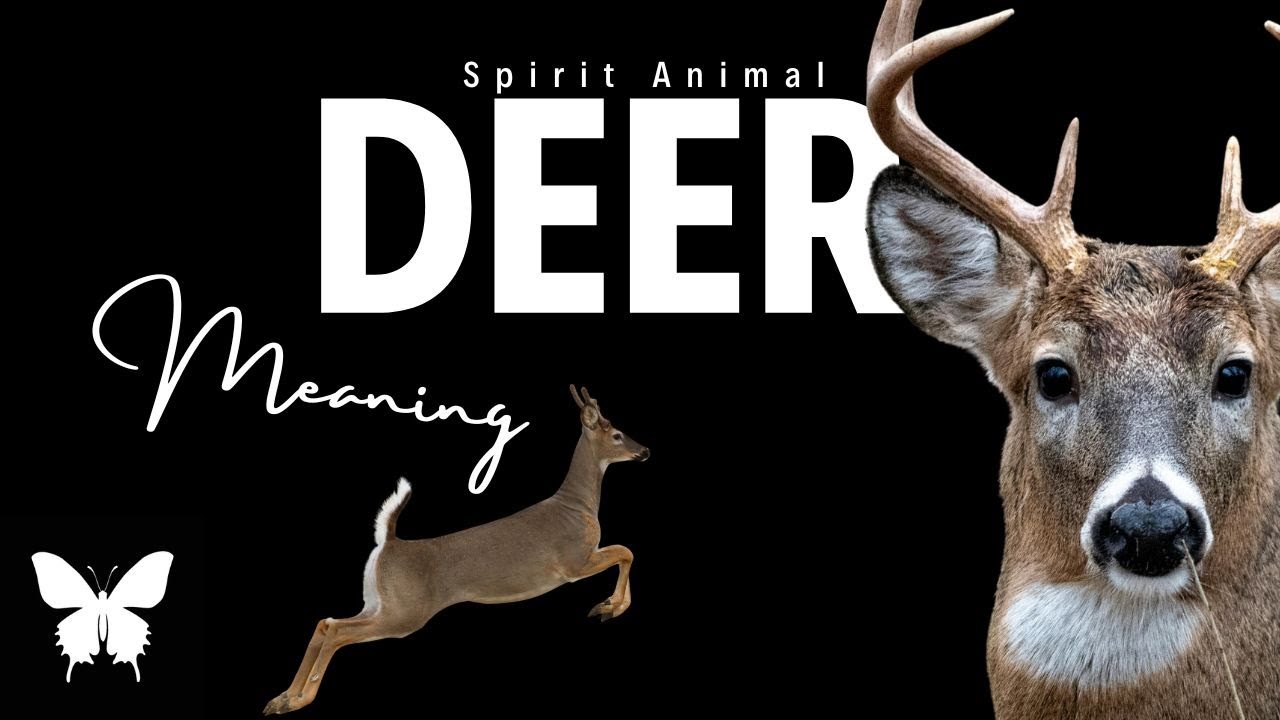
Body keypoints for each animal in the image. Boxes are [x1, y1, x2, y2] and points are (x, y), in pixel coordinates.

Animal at [262, 386, 649, 714]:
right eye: (617, 435)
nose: (644, 450)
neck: (578, 506)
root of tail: (388, 543)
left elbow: (625, 551)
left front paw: (609, 606)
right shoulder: (573, 562)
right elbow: (625, 550)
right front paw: (610, 607)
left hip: (378, 602)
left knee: (326, 622)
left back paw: (282, 698)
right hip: (406, 612)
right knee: (338, 632)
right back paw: (298, 700)